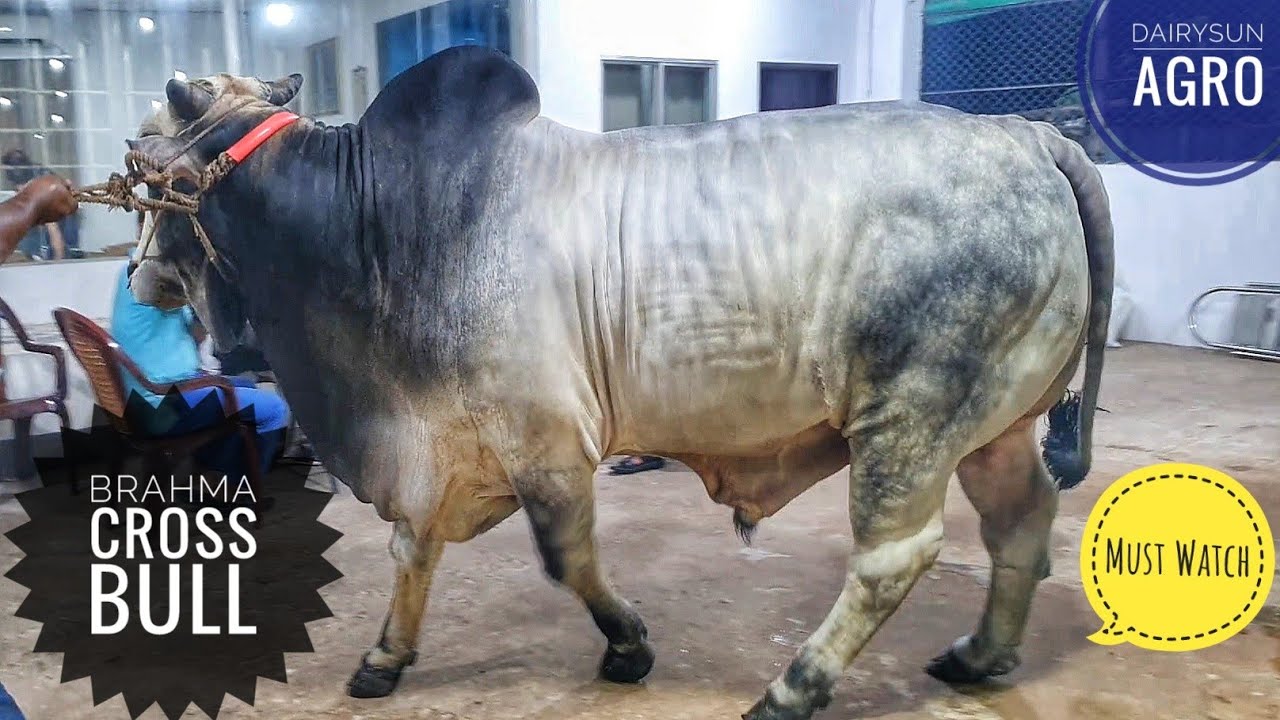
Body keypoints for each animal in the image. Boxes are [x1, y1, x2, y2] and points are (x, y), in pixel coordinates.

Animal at [125, 46, 1112, 720]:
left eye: (139, 156)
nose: (137, 277)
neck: (372, 226)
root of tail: (1028, 136)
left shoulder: (546, 441)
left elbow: (566, 556)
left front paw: (630, 646)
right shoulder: (436, 449)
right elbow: (413, 549)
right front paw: (385, 657)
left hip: (908, 413)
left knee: (892, 558)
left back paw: (794, 688)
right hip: (992, 423)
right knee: (1021, 519)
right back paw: (982, 654)